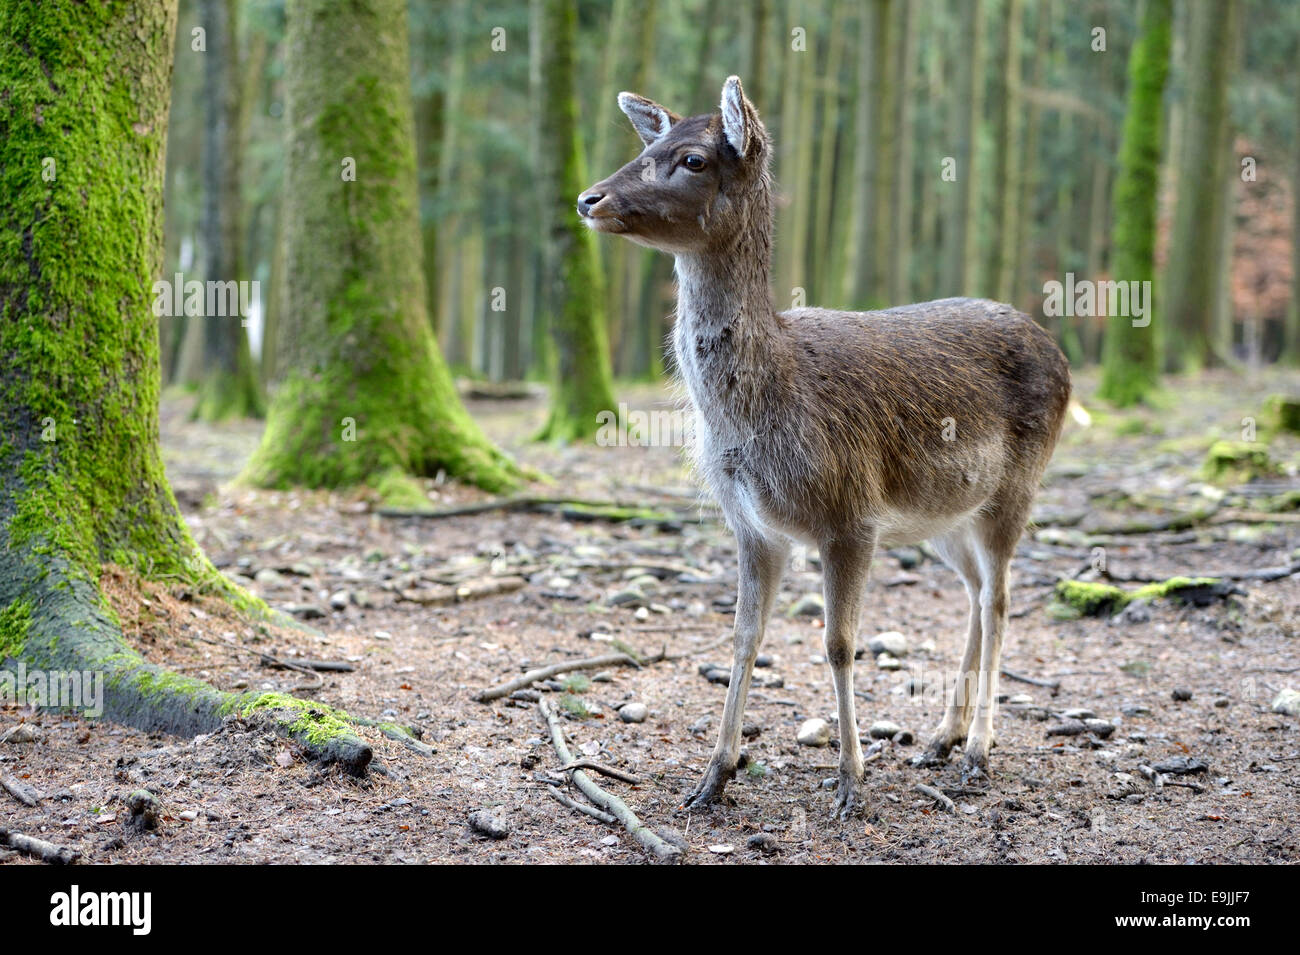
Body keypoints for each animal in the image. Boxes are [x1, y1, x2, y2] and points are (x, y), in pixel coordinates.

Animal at [577, 76, 1071, 817]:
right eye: (647, 146)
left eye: (692, 159)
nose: (589, 198)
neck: (757, 417)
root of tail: (1060, 353)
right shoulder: (752, 524)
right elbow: (744, 637)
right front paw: (713, 776)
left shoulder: (851, 514)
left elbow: (839, 644)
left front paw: (850, 782)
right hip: (946, 517)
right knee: (977, 592)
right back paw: (942, 738)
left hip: (1018, 486)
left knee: (1002, 598)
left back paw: (978, 752)